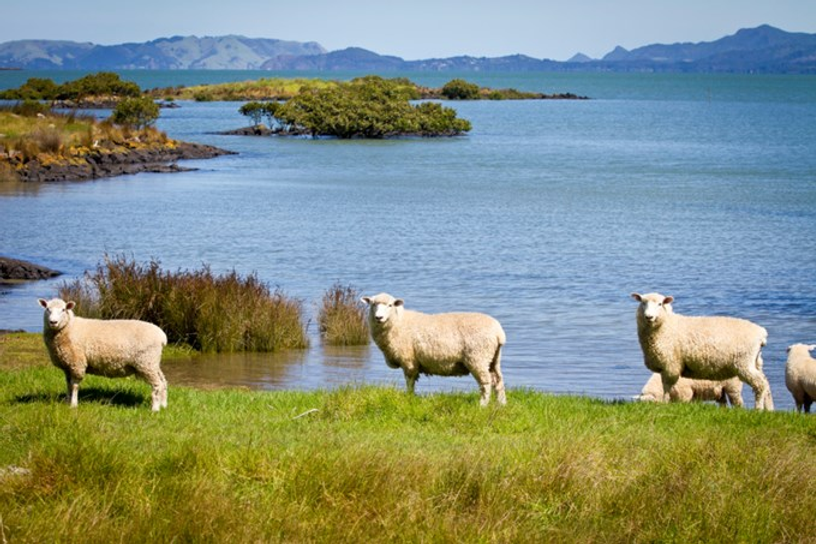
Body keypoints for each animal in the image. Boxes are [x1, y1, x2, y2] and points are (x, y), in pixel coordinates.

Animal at [38, 297, 168, 411]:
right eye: (48, 309)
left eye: (63, 309)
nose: (53, 322)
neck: (69, 327)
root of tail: (162, 336)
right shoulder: (67, 365)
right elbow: (68, 385)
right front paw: (67, 401)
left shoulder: (77, 362)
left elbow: (74, 385)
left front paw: (73, 405)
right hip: (153, 362)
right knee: (163, 381)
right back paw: (163, 405)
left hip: (146, 361)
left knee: (157, 384)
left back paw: (155, 409)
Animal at [361, 293, 506, 406]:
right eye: (373, 304)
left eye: (390, 305)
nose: (378, 318)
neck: (398, 322)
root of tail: (498, 332)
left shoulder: (408, 360)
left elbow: (410, 381)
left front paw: (409, 397)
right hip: (493, 359)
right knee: (498, 381)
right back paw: (501, 404)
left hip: (478, 357)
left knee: (486, 383)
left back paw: (482, 405)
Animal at [630, 292, 773, 410]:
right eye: (643, 303)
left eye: (660, 304)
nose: (649, 317)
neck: (668, 325)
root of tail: (761, 333)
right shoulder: (666, 367)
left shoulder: (671, 365)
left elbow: (667, 388)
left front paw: (665, 405)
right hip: (755, 361)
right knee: (766, 383)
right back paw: (769, 409)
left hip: (744, 363)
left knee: (759, 384)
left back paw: (758, 409)